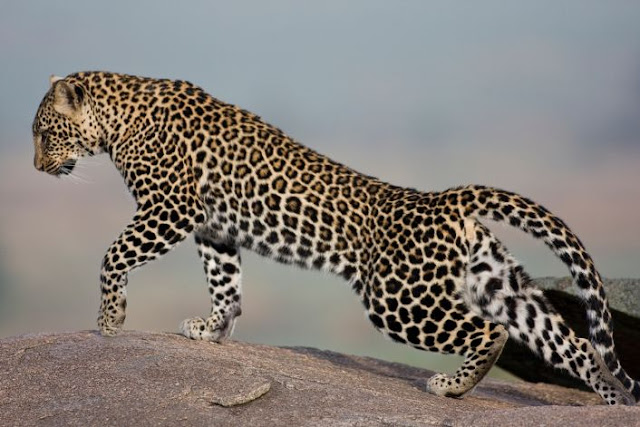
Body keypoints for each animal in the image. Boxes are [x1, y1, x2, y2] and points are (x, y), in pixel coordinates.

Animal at [32, 71, 639, 405]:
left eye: (42, 131)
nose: (36, 168)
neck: (118, 118)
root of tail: (443, 198)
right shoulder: (212, 226)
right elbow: (226, 284)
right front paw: (213, 329)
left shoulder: (171, 208)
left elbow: (114, 253)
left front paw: (111, 320)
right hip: (495, 281)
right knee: (575, 344)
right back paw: (614, 401)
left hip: (399, 299)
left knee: (491, 331)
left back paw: (454, 387)